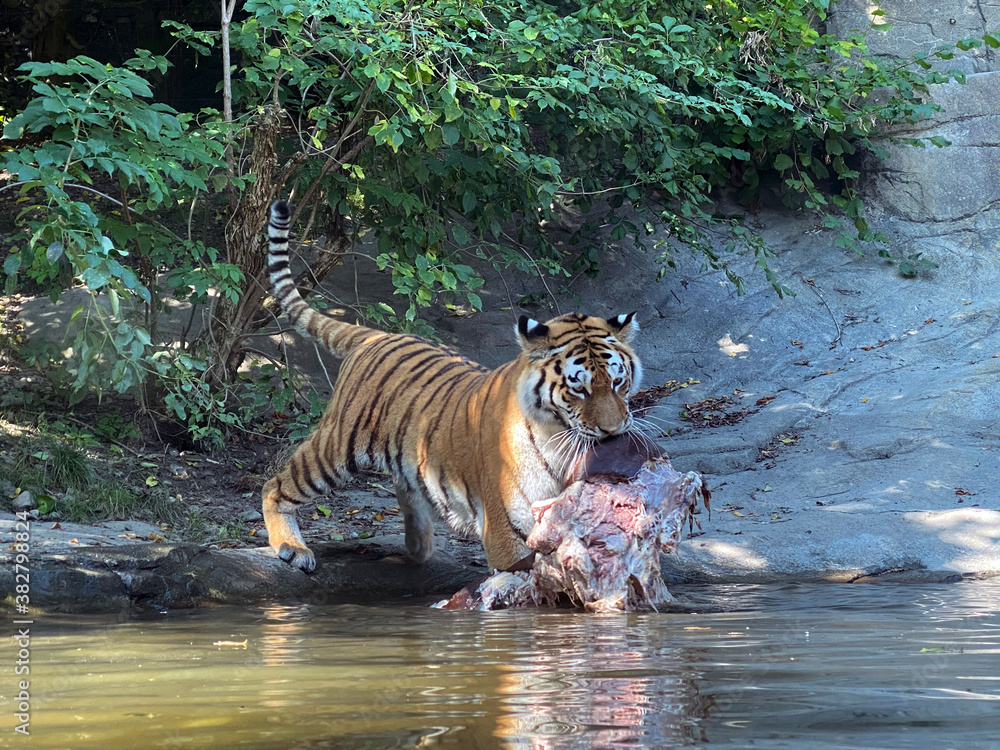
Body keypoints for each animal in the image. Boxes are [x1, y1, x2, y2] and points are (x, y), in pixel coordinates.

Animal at [262, 199, 643, 573]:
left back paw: (419, 546)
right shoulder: (506, 532)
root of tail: (377, 334)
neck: (558, 441)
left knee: (406, 488)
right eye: (579, 389)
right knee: (276, 486)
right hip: (336, 445)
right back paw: (292, 547)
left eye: (618, 381)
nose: (612, 431)